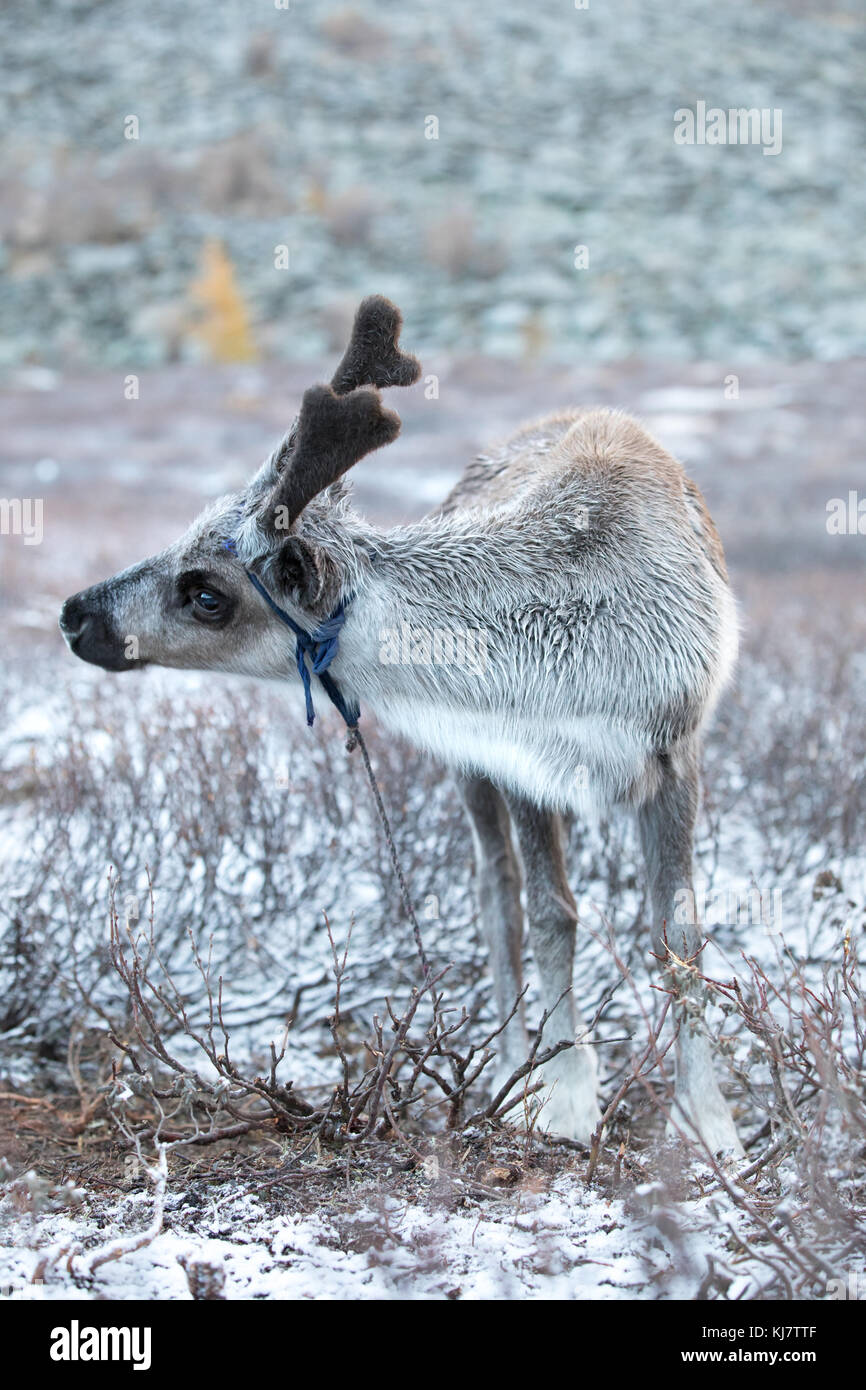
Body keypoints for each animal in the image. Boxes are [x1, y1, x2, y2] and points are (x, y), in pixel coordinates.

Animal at [59, 295, 743, 1155]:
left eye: (207, 592)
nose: (76, 614)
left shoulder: (677, 755)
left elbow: (679, 932)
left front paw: (708, 1123)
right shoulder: (519, 759)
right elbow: (552, 915)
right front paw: (562, 1098)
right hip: (470, 770)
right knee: (497, 895)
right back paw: (508, 1072)